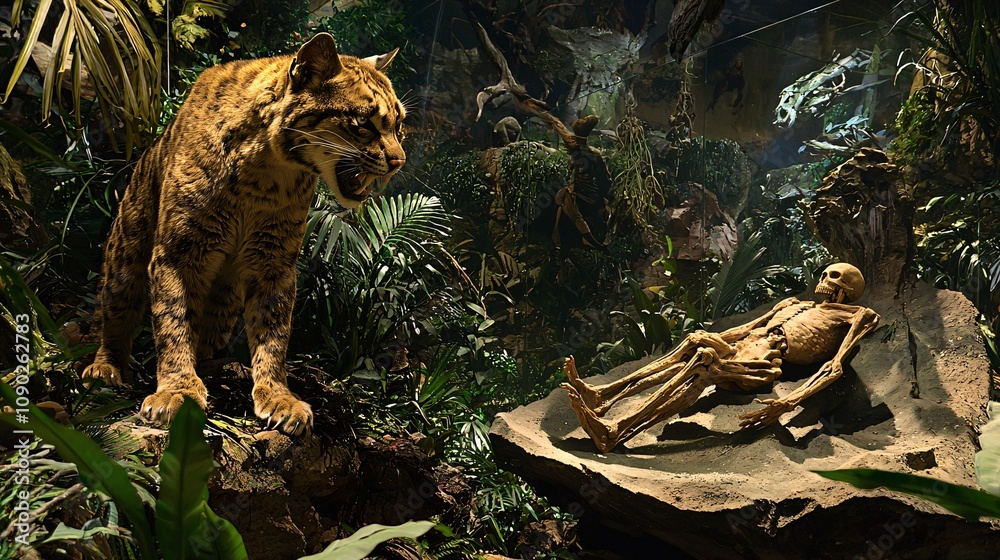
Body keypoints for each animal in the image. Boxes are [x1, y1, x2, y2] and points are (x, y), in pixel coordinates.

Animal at [82, 33, 406, 436]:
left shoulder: (274, 261)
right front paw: (177, 390)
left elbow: (274, 332)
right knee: (116, 311)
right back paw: (105, 367)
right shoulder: (178, 252)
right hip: (126, 254)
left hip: (227, 291)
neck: (267, 169)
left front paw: (276, 395)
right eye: (364, 124)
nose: (399, 161)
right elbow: (173, 321)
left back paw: (221, 369)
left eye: (399, 126)